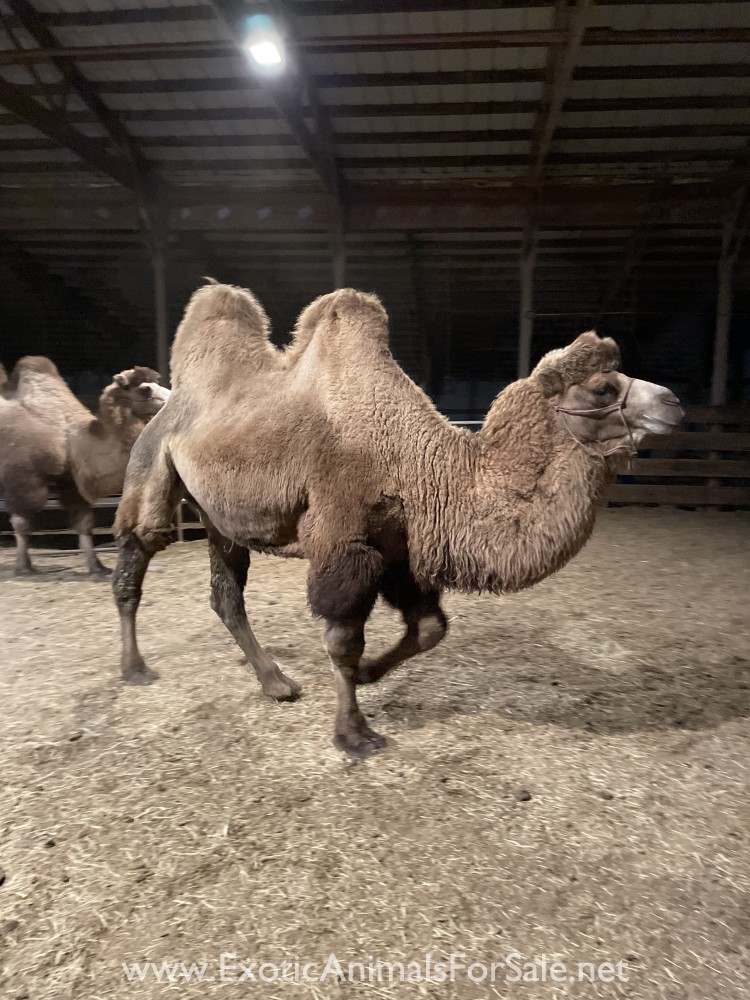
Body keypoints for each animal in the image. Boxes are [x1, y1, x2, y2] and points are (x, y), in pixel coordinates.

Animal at [0, 356, 169, 575]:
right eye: (144, 389)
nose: (173, 397)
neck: (70, 438)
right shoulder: (24, 478)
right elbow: (22, 524)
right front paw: (23, 567)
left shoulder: (71, 481)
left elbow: (84, 523)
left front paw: (97, 567)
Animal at [113, 283, 683, 757]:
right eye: (603, 388)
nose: (675, 401)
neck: (420, 464)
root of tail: (171, 401)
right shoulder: (345, 541)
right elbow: (343, 642)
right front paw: (354, 733)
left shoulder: (397, 548)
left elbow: (429, 629)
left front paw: (369, 674)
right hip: (152, 465)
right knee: (137, 554)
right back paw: (134, 667)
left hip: (219, 516)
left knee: (226, 594)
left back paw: (276, 682)